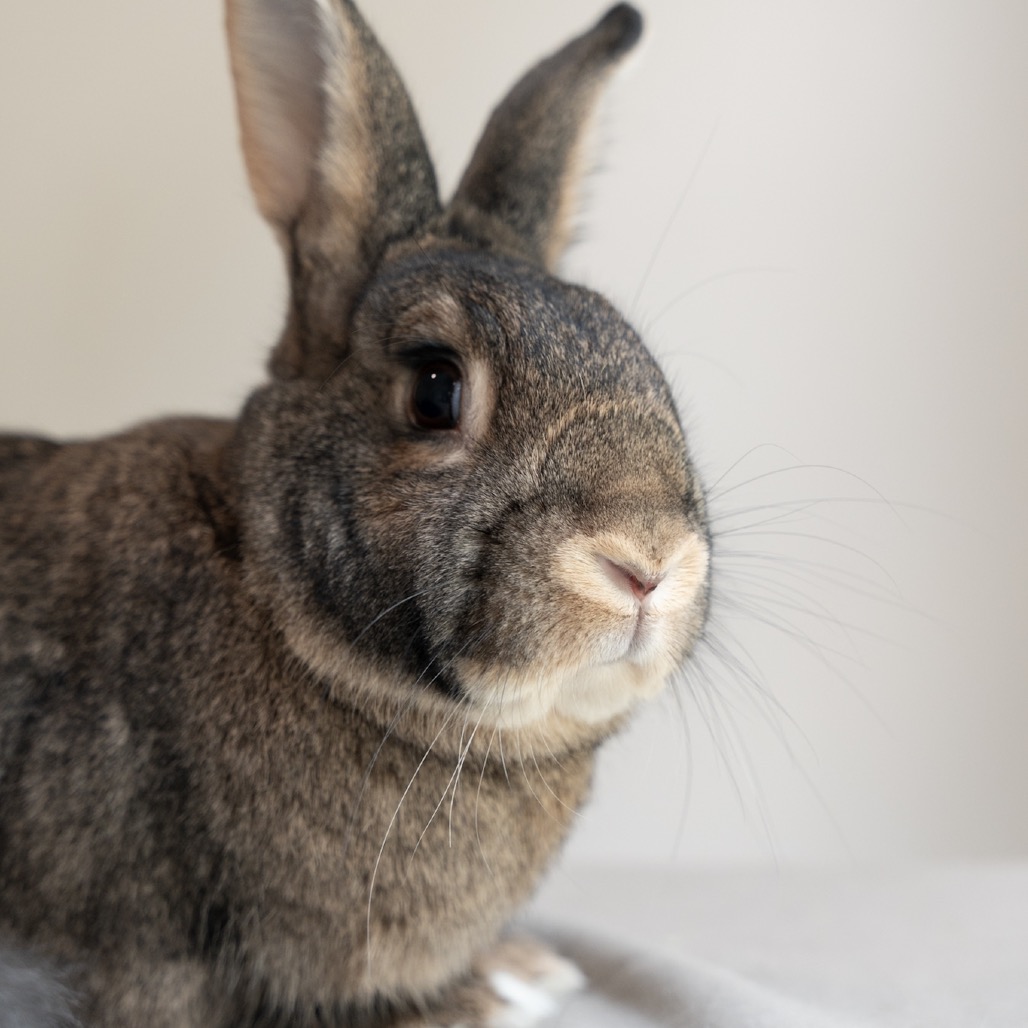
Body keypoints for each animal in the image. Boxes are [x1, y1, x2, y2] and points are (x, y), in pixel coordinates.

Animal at [0, 1, 711, 1025]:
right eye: (435, 389)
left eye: (648, 367)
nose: (648, 561)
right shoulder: (140, 962)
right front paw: (494, 992)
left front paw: (521, 969)